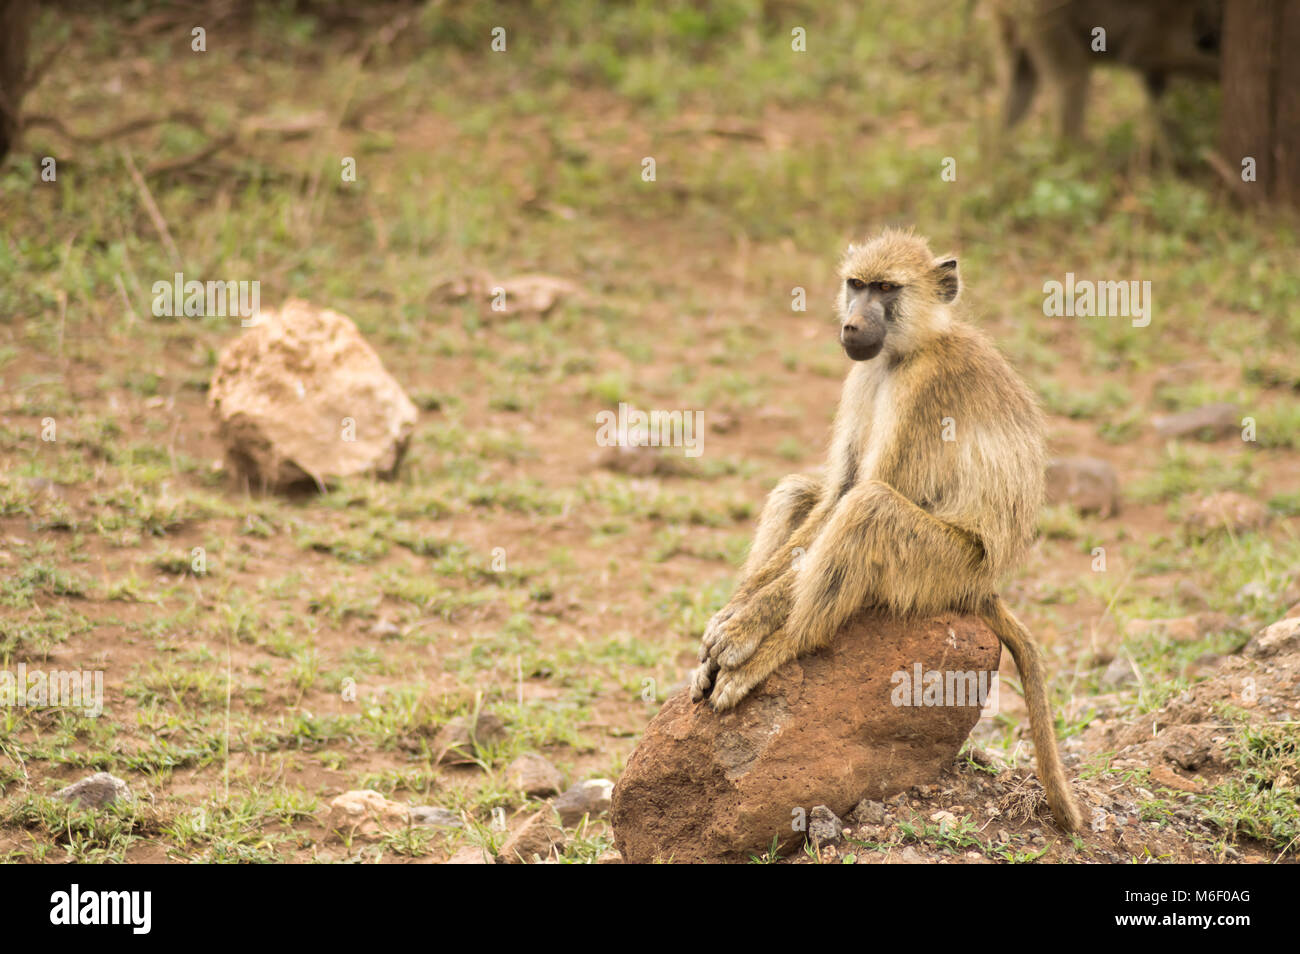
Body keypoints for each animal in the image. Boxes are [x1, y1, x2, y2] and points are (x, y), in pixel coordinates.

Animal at [689, 228, 1084, 833]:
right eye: (856, 284)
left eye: (886, 289)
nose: (853, 325)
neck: (907, 351)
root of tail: (986, 585)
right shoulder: (862, 374)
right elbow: (836, 490)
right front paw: (731, 614)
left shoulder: (925, 392)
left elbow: (865, 491)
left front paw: (742, 631)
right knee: (802, 494)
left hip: (943, 570)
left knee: (871, 509)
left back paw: (782, 648)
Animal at [998, 0, 1221, 143]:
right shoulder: (1164, 22)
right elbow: (1143, 56)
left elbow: (1155, 85)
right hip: (1047, 20)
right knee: (1074, 81)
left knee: (1020, 86)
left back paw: (1000, 160)